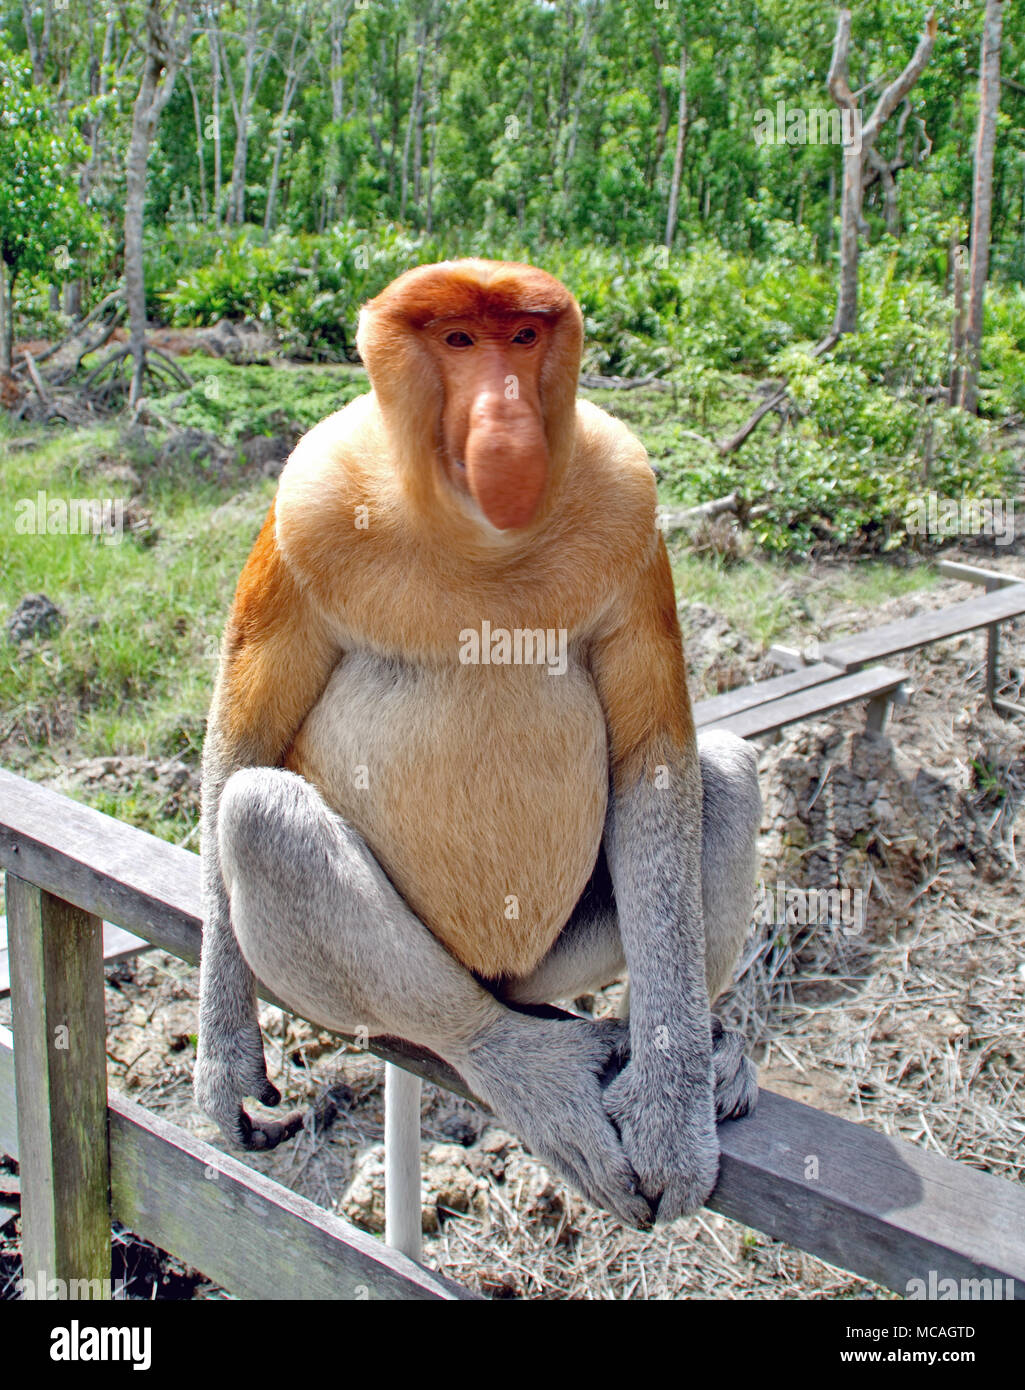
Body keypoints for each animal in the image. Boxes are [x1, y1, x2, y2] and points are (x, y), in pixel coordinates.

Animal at [194, 259, 762, 1228]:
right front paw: (224, 1059)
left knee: (719, 778)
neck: (478, 535)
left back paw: (700, 1049)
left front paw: (669, 1117)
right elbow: (245, 740)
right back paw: (513, 1061)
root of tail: (499, 982)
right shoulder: (303, 506)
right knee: (261, 816)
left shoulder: (628, 506)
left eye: (523, 338)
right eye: (458, 342)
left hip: (559, 959)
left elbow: (652, 763)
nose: (507, 413)